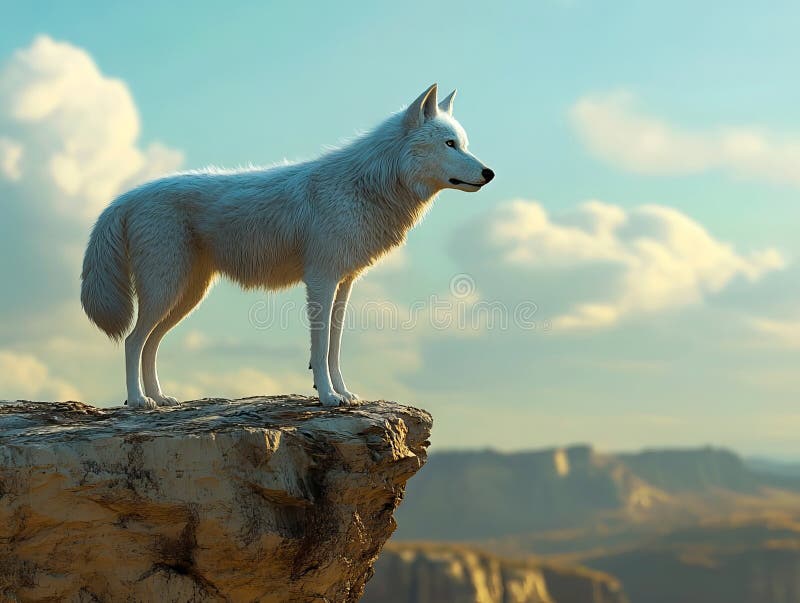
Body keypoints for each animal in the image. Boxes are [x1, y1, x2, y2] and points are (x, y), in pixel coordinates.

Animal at [81, 84, 494, 409]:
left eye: (464, 144)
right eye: (450, 144)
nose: (489, 173)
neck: (368, 184)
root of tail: (125, 198)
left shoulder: (344, 283)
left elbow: (334, 346)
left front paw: (345, 393)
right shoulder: (320, 280)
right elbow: (319, 347)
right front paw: (327, 397)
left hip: (185, 296)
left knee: (150, 344)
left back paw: (160, 398)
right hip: (166, 290)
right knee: (133, 340)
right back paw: (138, 401)